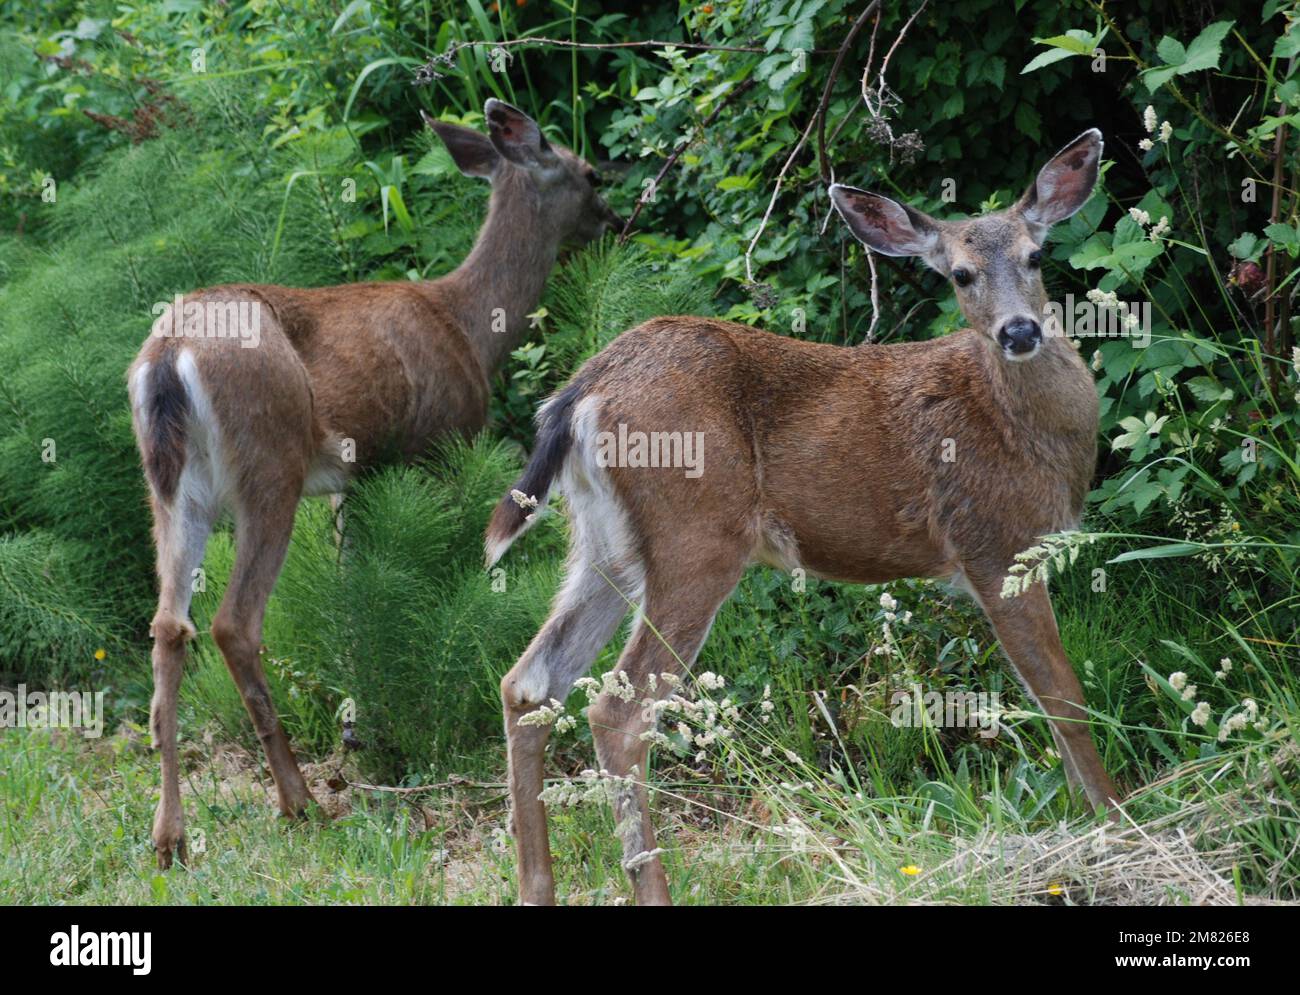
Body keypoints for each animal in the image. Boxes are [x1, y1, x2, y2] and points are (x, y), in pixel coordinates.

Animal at [127, 99, 620, 869]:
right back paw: (297, 801)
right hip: (269, 462)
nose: (615, 219)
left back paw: (170, 835)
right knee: (234, 621)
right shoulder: (440, 441)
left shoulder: (355, 482)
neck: (471, 326)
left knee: (168, 625)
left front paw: (359, 719)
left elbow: (352, 586)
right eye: (588, 172)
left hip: (172, 485)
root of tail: (166, 357)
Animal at [484, 129, 1122, 905]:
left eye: (1035, 256)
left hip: (603, 547)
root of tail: (582, 389)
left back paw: (535, 887)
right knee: (617, 709)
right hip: (697, 538)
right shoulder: (995, 545)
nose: (1020, 331)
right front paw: (1122, 825)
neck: (1025, 430)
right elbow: (1062, 695)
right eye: (960, 274)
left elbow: (1045, 702)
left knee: (530, 682)